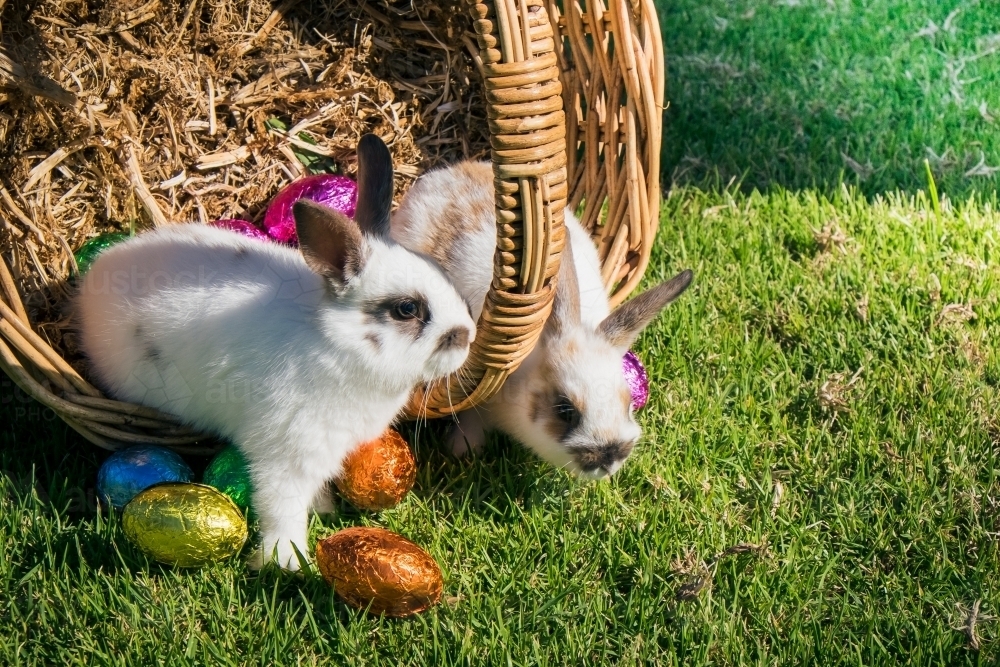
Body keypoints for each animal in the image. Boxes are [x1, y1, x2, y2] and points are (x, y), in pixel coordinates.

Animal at [76, 134, 476, 569]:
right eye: (406, 309)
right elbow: (281, 507)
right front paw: (286, 561)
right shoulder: (284, 456)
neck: (333, 343)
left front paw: (324, 510)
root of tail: (95, 276)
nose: (468, 335)